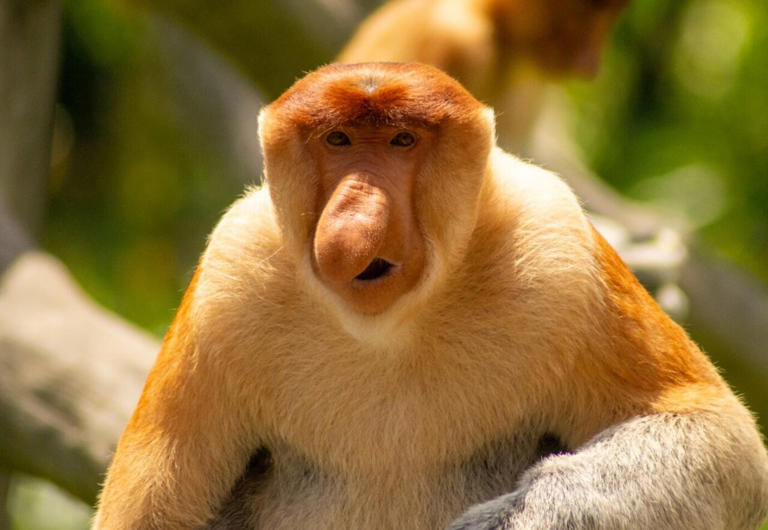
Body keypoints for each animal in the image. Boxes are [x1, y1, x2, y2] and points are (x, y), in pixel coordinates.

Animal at [93, 62, 768, 529]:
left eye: (402, 141)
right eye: (338, 140)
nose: (356, 217)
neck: (390, 328)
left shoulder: (557, 246)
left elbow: (718, 438)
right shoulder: (229, 276)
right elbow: (148, 512)